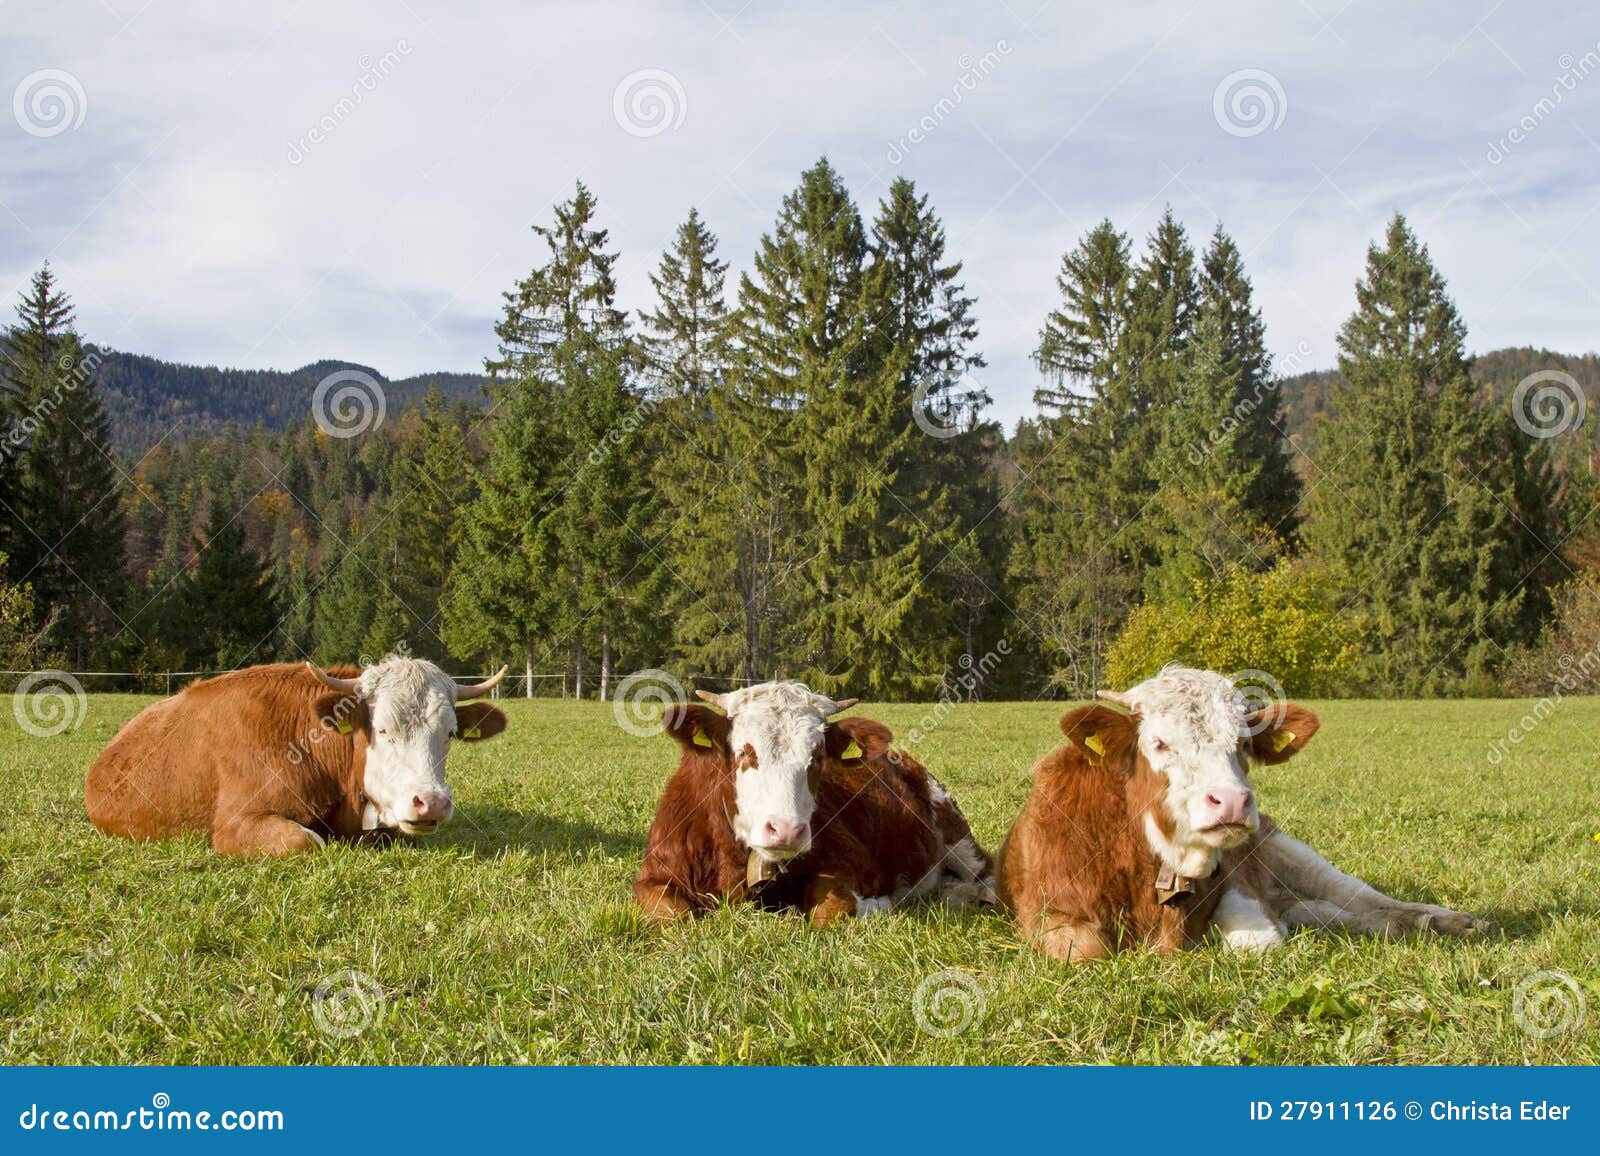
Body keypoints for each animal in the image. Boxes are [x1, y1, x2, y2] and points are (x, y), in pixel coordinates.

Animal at [635, 681, 995, 926]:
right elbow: (673, 914)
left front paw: (877, 906)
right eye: (744, 753)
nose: (786, 830)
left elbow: (832, 911)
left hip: (958, 837)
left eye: (818, 756)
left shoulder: (852, 863)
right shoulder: (654, 875)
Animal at [996, 666, 1491, 961]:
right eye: (1159, 743)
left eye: (1244, 744)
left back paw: (1451, 922)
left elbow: (1256, 942)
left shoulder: (1240, 885)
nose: (1231, 801)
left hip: (1289, 850)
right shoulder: (1049, 910)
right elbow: (1087, 949)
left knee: (1364, 900)